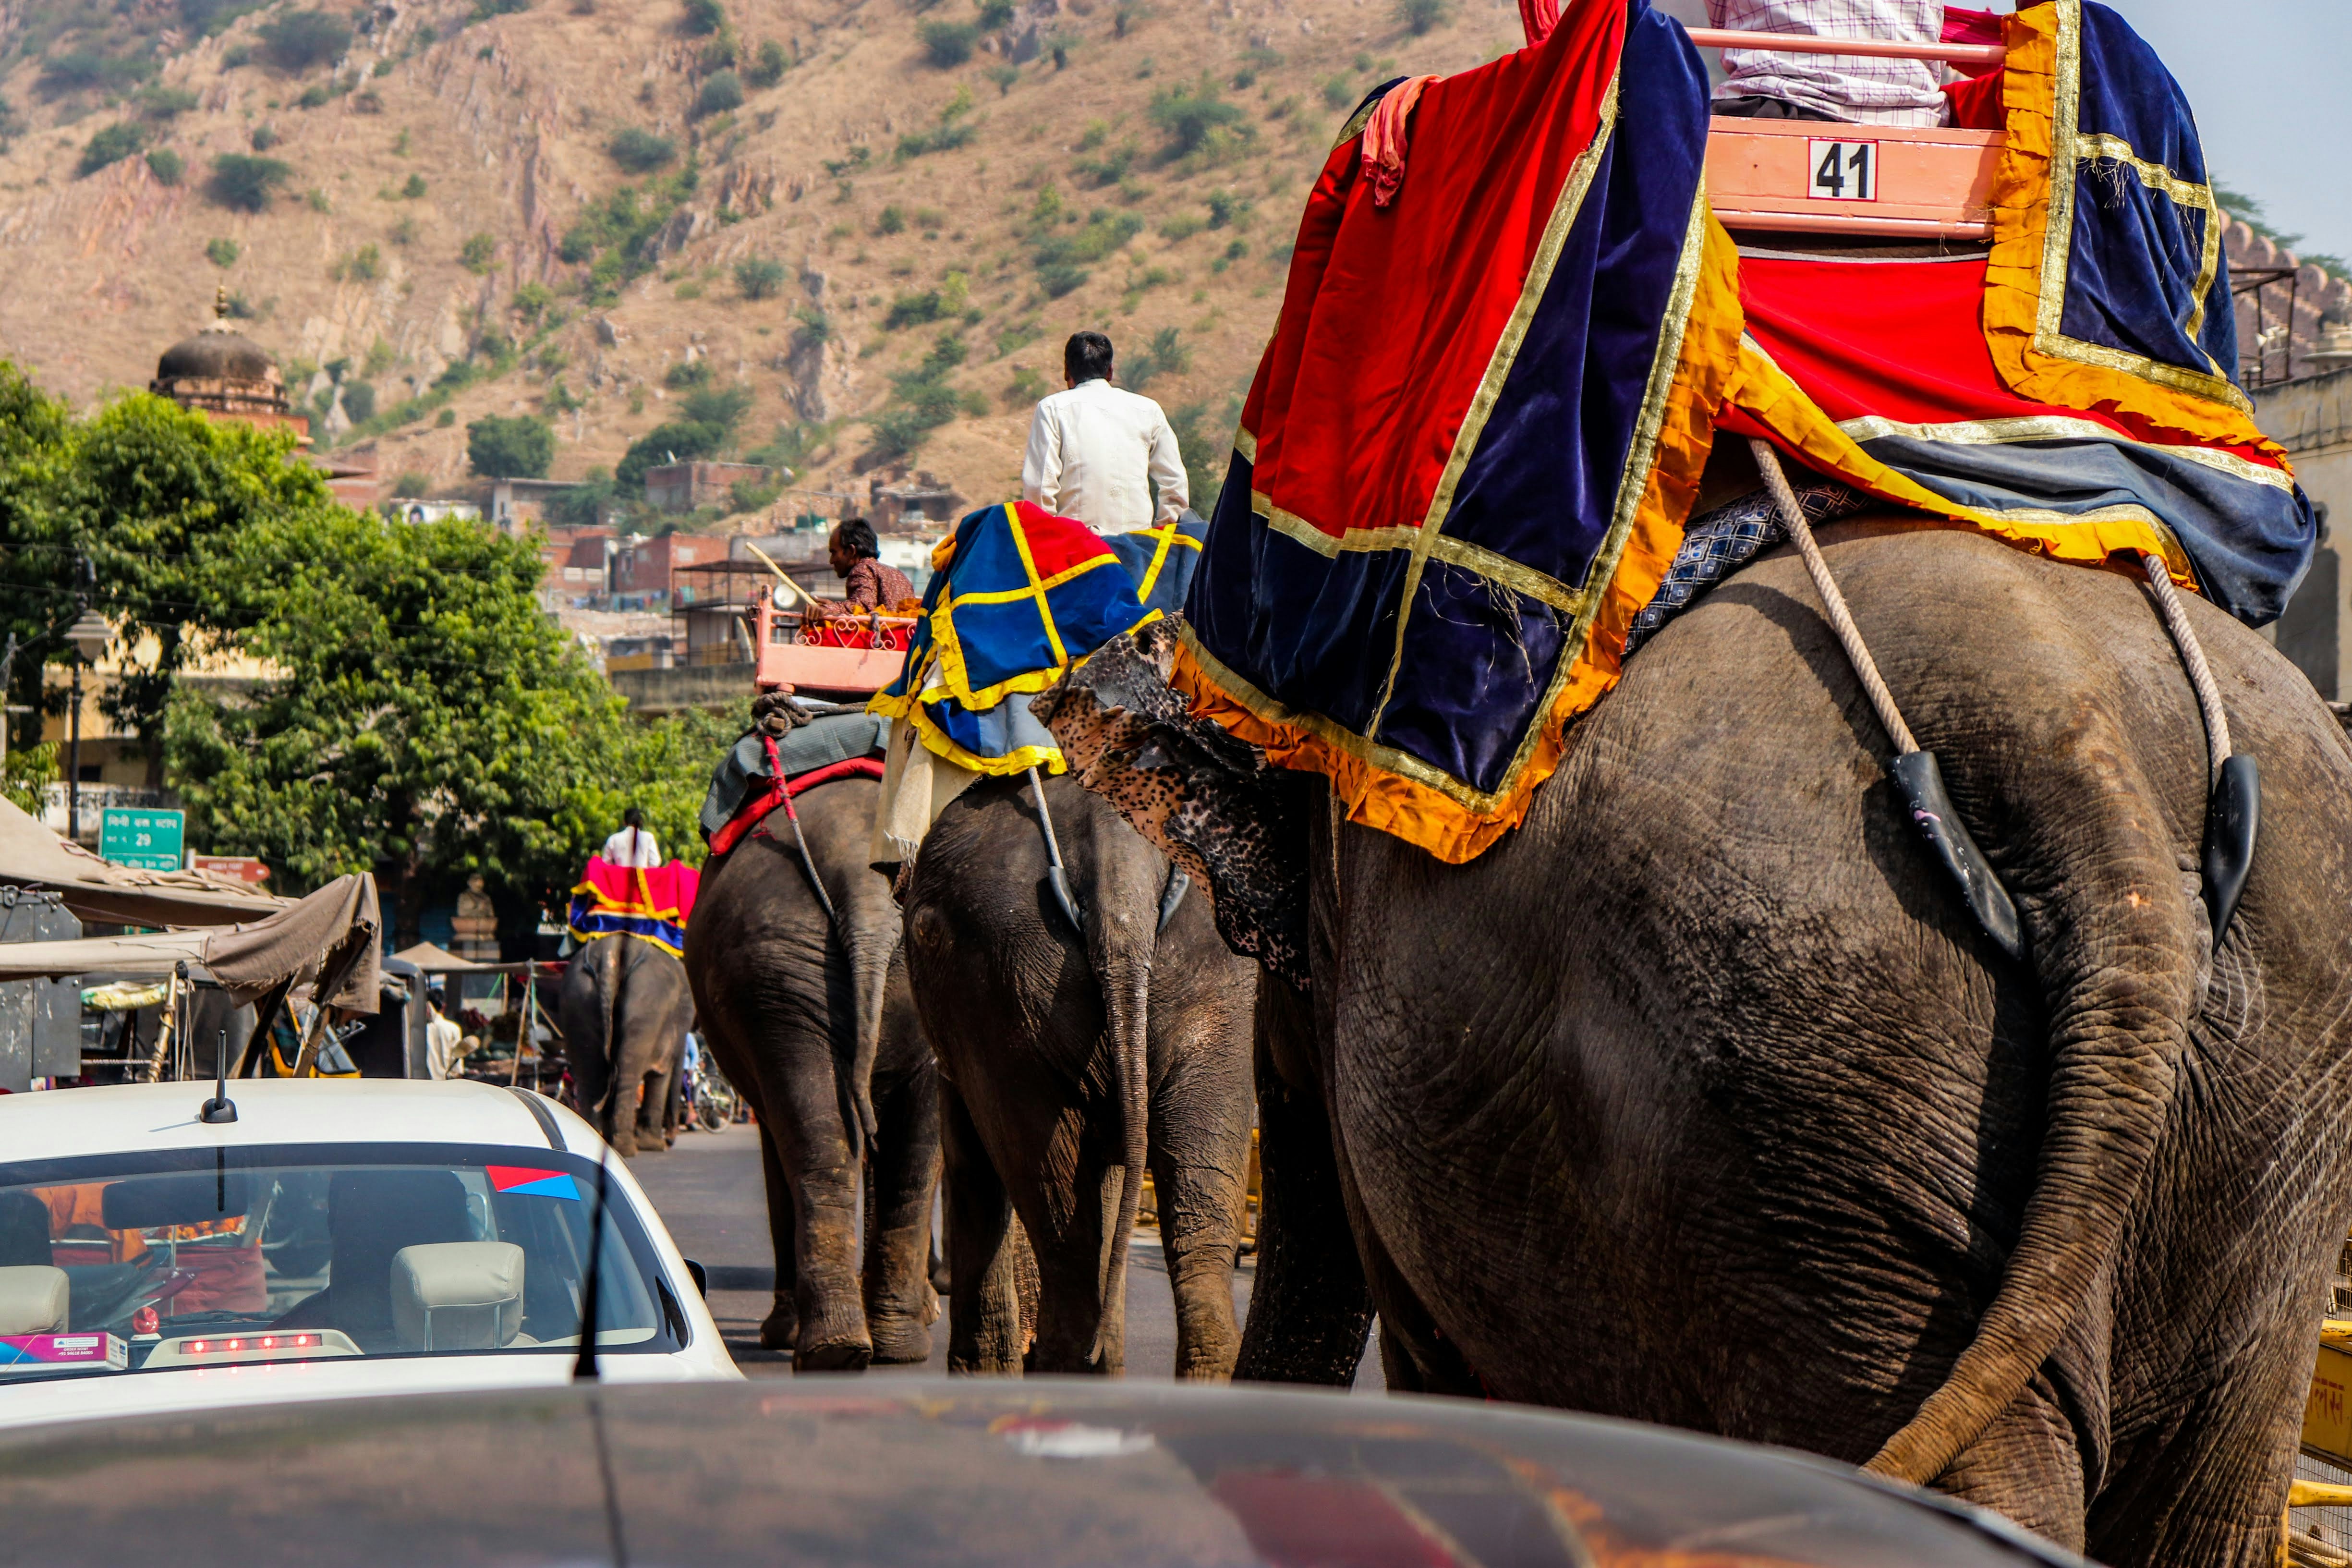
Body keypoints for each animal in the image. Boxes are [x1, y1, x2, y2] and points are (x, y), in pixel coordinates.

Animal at [558, 933, 691, 1158]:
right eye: (689, 1020)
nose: (670, 1140)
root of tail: (610, 953)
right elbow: (660, 1074)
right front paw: (654, 1146)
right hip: (645, 1005)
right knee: (628, 1073)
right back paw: (627, 1149)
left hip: (578, 998)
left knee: (592, 1074)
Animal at [684, 773, 940, 1371]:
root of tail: (863, 880)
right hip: (786, 968)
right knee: (884, 1150)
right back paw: (871, 1345)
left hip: (777, 966)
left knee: (820, 1144)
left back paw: (843, 1344)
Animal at [901, 770, 1257, 1378]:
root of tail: (1121, 861)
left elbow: (971, 1160)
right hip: (1212, 981)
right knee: (1199, 1208)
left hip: (1006, 982)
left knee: (1053, 1211)